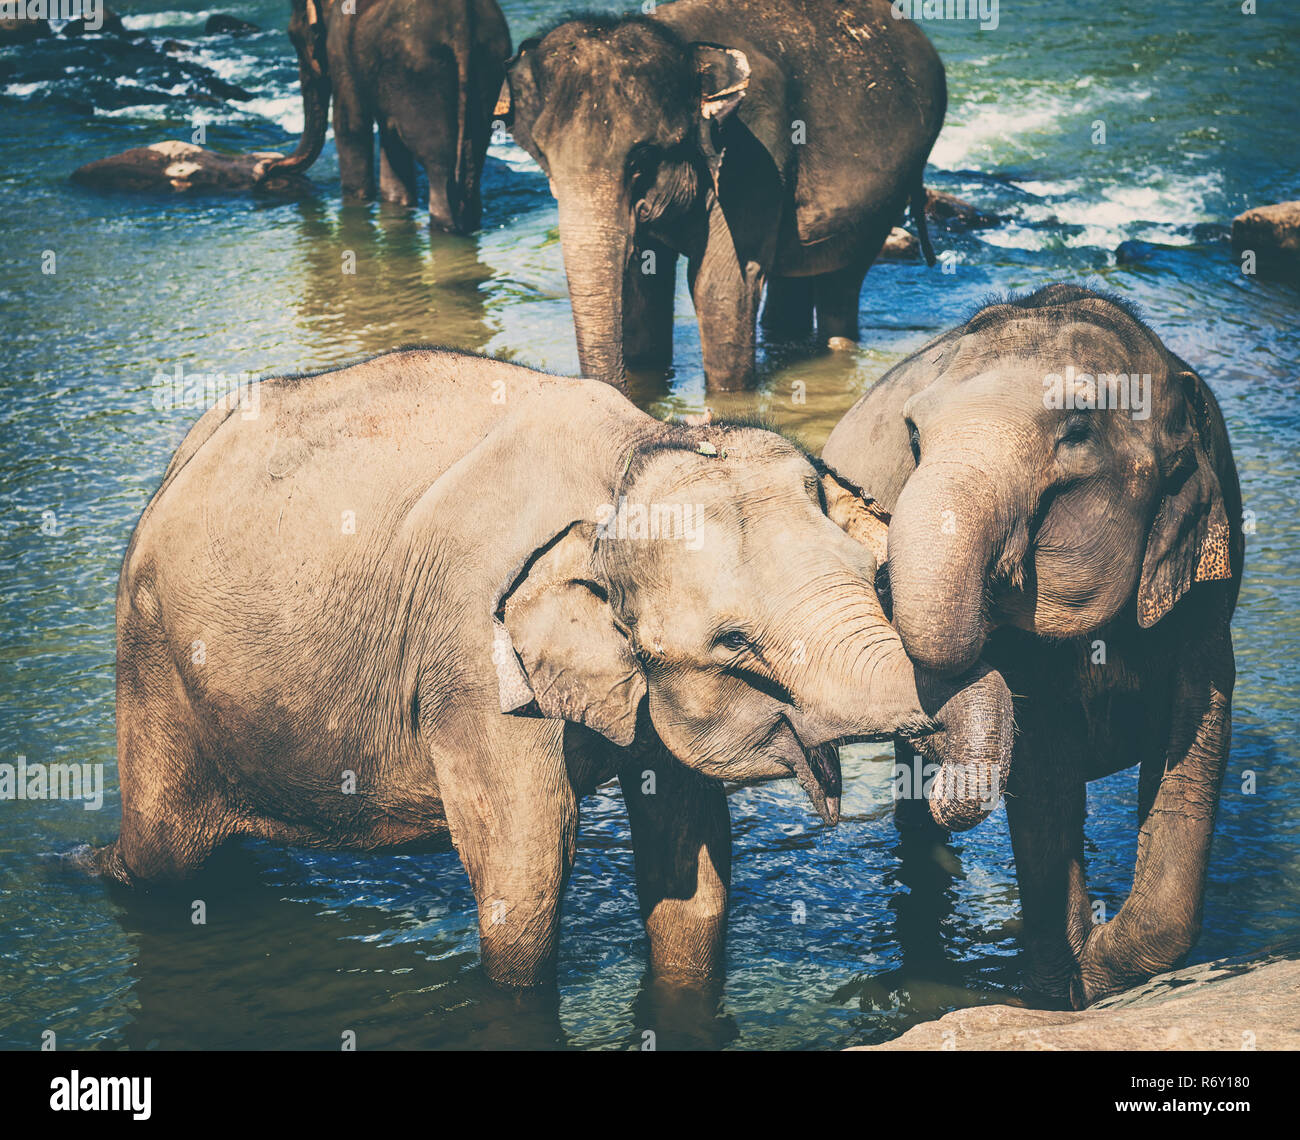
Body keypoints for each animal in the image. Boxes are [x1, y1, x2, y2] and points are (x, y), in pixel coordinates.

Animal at [97, 347, 1014, 989]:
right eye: (734, 643)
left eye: (874, 579)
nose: (935, 785)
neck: (632, 455)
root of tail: (185, 455)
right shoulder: (472, 661)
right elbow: (527, 871)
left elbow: (691, 871)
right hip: (154, 663)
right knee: (162, 859)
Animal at [259, 0, 510, 233]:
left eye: (293, 37)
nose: (265, 168)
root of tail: (462, 24)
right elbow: (390, 139)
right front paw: (397, 203)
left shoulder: (340, 45)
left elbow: (351, 126)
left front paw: (357, 199)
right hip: (488, 66)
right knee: (472, 157)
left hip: (422, 78)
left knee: (439, 166)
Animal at [495, 0, 945, 391]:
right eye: (544, 155)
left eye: (642, 157)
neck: (681, 44)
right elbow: (643, 285)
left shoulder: (754, 153)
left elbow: (720, 287)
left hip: (889, 191)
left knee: (841, 280)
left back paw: (838, 344)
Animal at [822, 284, 1244, 1008]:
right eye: (913, 436)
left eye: (1076, 435)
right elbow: (1042, 758)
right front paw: (1066, 984)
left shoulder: (1203, 593)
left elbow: (1198, 727)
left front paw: (1093, 966)